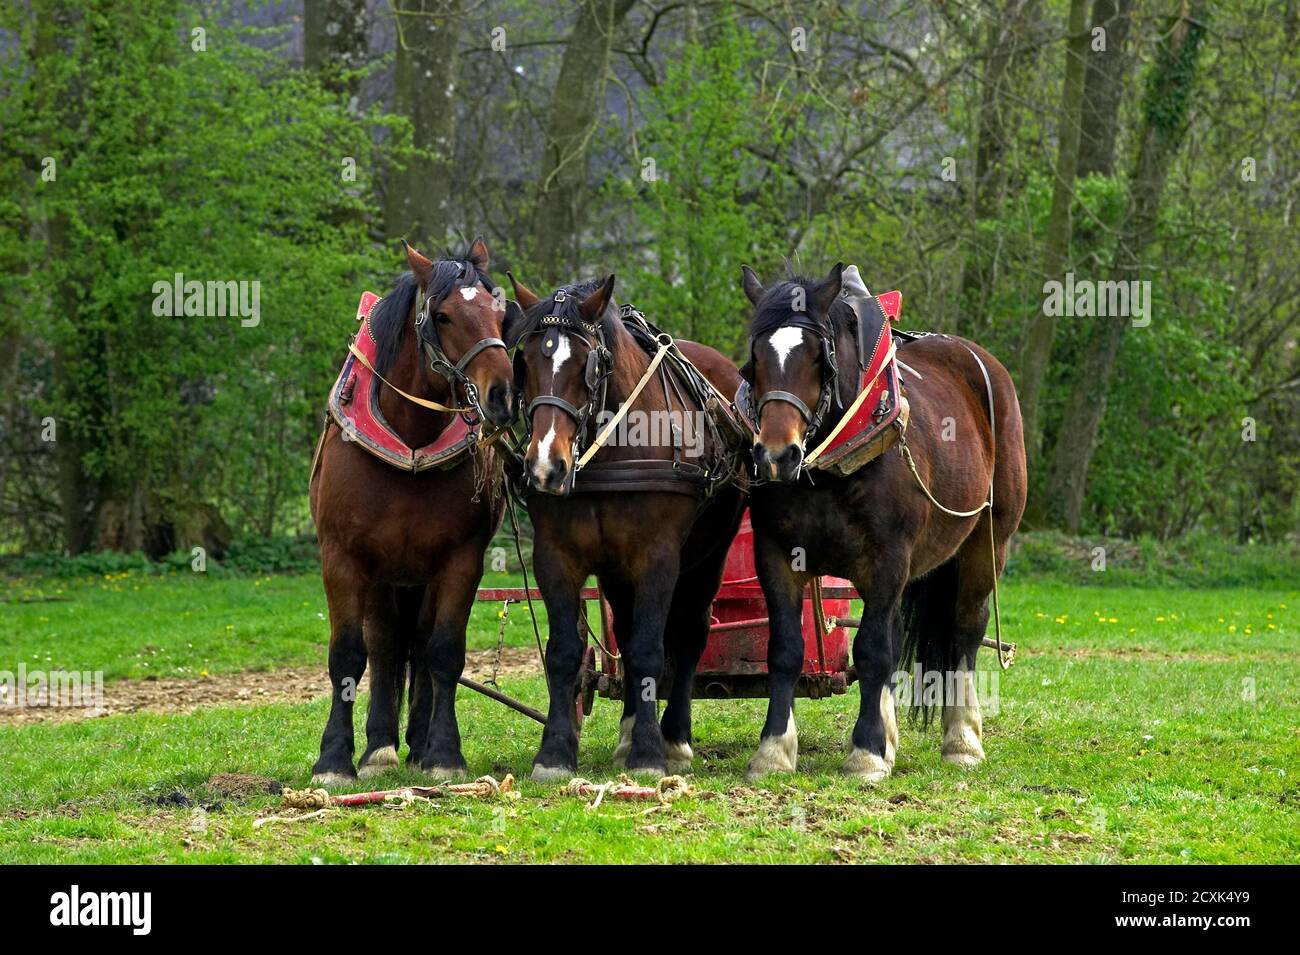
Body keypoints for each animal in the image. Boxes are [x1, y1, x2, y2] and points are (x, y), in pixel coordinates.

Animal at [309, 238, 516, 783]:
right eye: (442, 316)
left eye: (501, 313)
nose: (502, 395)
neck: (410, 438)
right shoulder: (343, 558)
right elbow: (348, 655)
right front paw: (334, 758)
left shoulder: (460, 561)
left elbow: (442, 652)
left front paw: (443, 752)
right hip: (385, 576)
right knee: (384, 645)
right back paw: (379, 747)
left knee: (418, 646)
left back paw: (418, 742)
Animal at [504, 273, 747, 779]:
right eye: (524, 361)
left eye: (588, 365)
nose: (545, 467)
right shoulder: (555, 557)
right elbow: (564, 651)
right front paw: (554, 753)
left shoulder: (658, 557)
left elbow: (650, 650)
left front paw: (650, 753)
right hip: (617, 570)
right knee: (630, 625)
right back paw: (630, 729)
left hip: (708, 555)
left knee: (689, 634)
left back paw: (674, 737)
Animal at [739, 262, 1027, 782]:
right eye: (754, 358)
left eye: (819, 358)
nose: (775, 455)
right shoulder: (776, 555)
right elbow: (786, 650)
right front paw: (773, 751)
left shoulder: (888, 558)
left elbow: (872, 650)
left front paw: (866, 753)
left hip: (987, 543)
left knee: (965, 629)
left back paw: (962, 739)